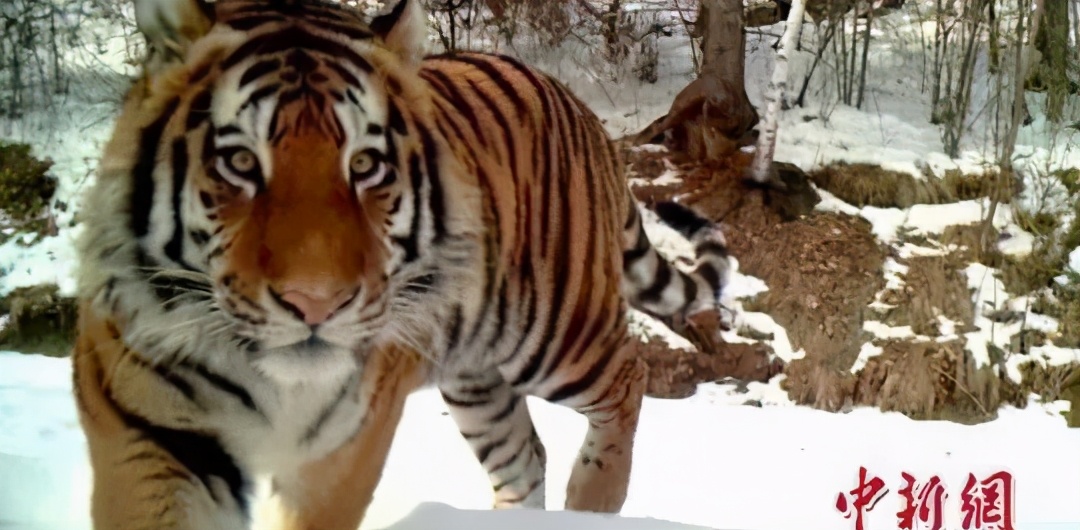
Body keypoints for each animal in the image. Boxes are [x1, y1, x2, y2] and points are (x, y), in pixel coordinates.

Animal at [71, 0, 734, 528]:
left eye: (366, 165)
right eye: (238, 162)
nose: (317, 304)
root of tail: (580, 109)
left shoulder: (342, 443)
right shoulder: (150, 438)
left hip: (556, 331)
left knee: (628, 376)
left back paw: (594, 498)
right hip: (475, 375)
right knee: (524, 459)